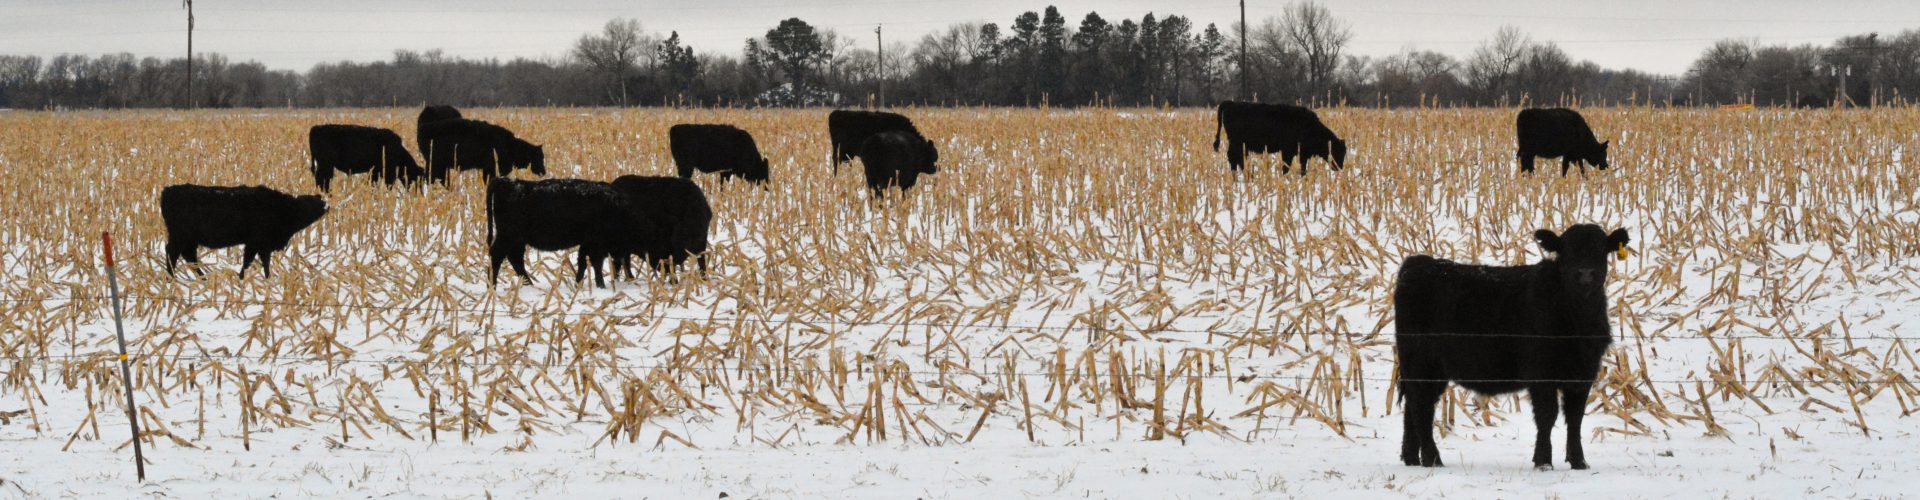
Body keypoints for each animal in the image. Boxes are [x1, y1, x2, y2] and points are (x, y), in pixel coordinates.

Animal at [160, 184, 328, 279]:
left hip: (189, 239)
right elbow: (256, 261)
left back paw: (203, 277)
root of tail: (167, 191)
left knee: (189, 256)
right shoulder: (260, 242)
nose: (326, 204)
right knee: (172, 253)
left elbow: (251, 261)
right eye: (310, 203)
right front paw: (265, 278)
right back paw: (171, 278)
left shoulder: (255, 244)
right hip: (180, 236)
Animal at [485, 178, 641, 288]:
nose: (632, 277)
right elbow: (596, 263)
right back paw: (492, 286)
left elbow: (583, 262)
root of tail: (508, 181)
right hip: (508, 236)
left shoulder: (587, 243)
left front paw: (579, 284)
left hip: (517, 240)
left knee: (515, 259)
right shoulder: (597, 243)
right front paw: (600, 285)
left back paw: (529, 284)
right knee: (497, 255)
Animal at [1212, 101, 1347, 175]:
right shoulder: (1288, 151)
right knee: (1236, 159)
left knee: (1236, 160)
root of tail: (1230, 103)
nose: (1339, 167)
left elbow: (1302, 168)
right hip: (1237, 143)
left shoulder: (1302, 154)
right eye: (1337, 151)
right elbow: (1286, 167)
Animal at [1392, 224, 1632, 471]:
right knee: (1421, 408)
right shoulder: (1541, 373)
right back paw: (1433, 459)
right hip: (1422, 364)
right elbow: (1547, 415)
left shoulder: (1583, 374)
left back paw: (1412, 458)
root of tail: (1419, 263)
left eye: (1600, 250)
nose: (1585, 274)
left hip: (1429, 369)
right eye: (1565, 250)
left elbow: (1575, 418)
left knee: (1412, 408)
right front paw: (1543, 461)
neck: (1578, 321)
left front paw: (1579, 462)